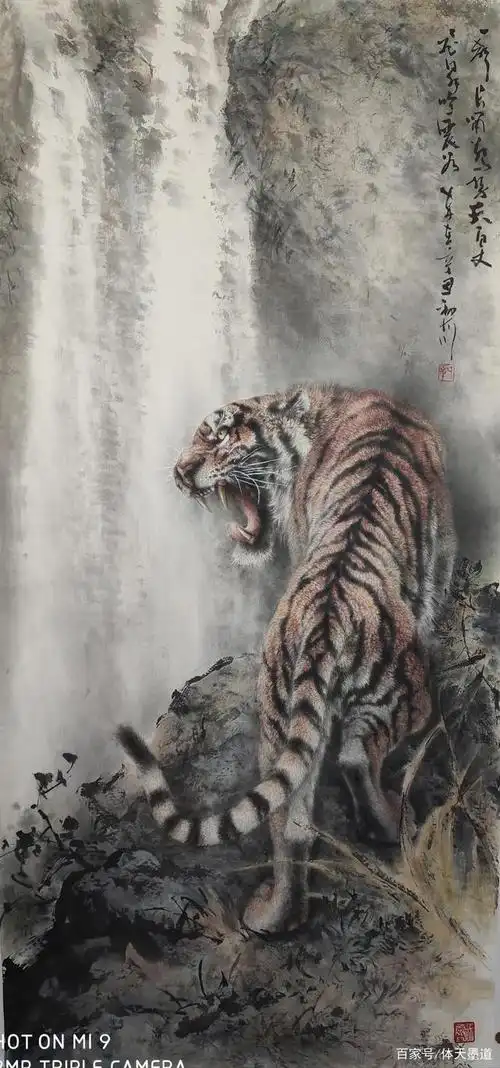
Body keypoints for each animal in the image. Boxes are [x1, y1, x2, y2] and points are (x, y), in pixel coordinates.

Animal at [118, 383, 457, 935]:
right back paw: (392, 824)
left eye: (219, 436)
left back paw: (275, 917)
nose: (181, 471)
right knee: (356, 757)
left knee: (289, 822)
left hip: (280, 720)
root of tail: (324, 620)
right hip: (407, 698)